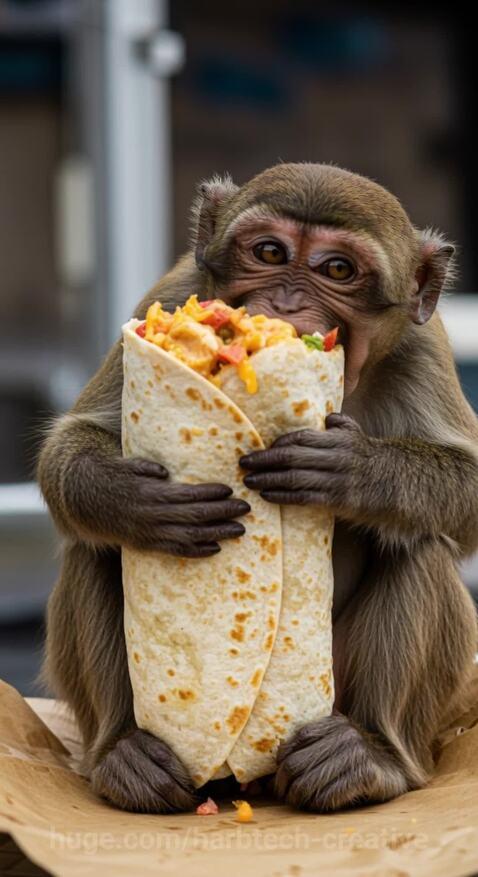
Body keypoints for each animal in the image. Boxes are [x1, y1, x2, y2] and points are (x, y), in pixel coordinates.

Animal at [37, 163, 478, 814]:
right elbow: (70, 446)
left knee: (420, 544)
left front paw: (354, 471)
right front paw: (132, 500)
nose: (287, 303)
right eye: (269, 252)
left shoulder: (423, 349)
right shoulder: (173, 293)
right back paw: (123, 753)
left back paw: (371, 756)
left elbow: (470, 501)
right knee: (94, 547)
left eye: (337, 270)